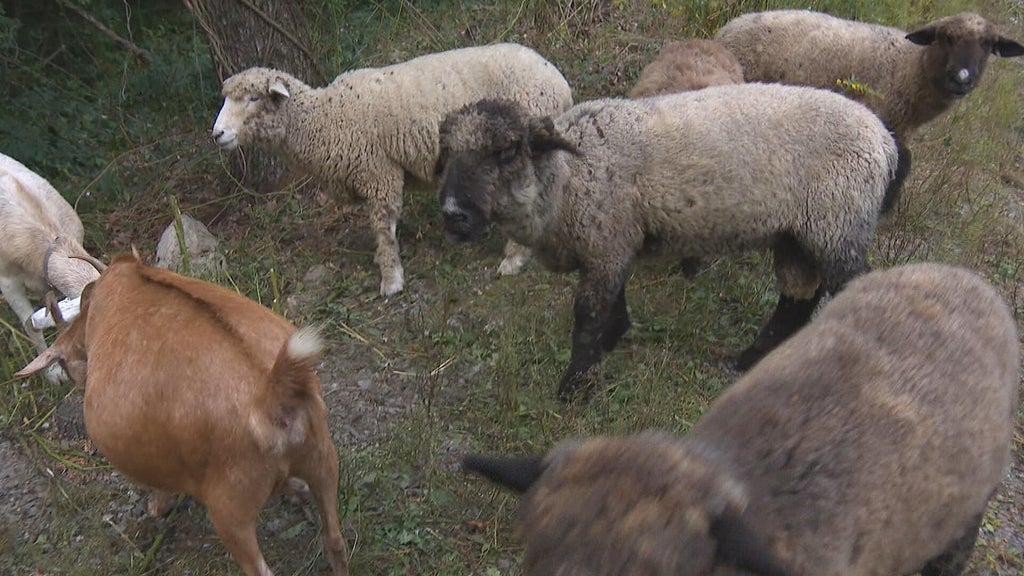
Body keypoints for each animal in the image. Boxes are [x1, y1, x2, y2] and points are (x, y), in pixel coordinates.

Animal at [15, 253, 349, 576]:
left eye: (67, 363)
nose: (80, 383)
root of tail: (271, 396)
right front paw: (294, 491)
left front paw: (156, 509)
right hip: (323, 457)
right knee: (335, 540)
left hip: (230, 509)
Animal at [211, 43, 574, 297]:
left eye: (253, 98)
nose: (217, 134)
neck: (325, 119)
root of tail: (559, 82)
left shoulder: (378, 171)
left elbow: (383, 225)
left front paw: (390, 277)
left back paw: (514, 258)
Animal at [438, 85, 898, 400]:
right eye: (447, 152)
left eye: (507, 150)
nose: (453, 213)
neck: (570, 174)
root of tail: (884, 139)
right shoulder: (613, 241)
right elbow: (612, 303)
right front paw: (611, 341)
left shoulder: (605, 241)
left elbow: (588, 313)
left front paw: (575, 386)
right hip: (797, 233)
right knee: (797, 298)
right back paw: (749, 359)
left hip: (837, 221)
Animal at [715, 10, 1024, 211]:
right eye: (946, 37)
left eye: (988, 44)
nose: (962, 78)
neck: (912, 67)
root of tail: (727, 29)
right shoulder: (884, 115)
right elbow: (902, 161)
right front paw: (885, 205)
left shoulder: (899, 123)